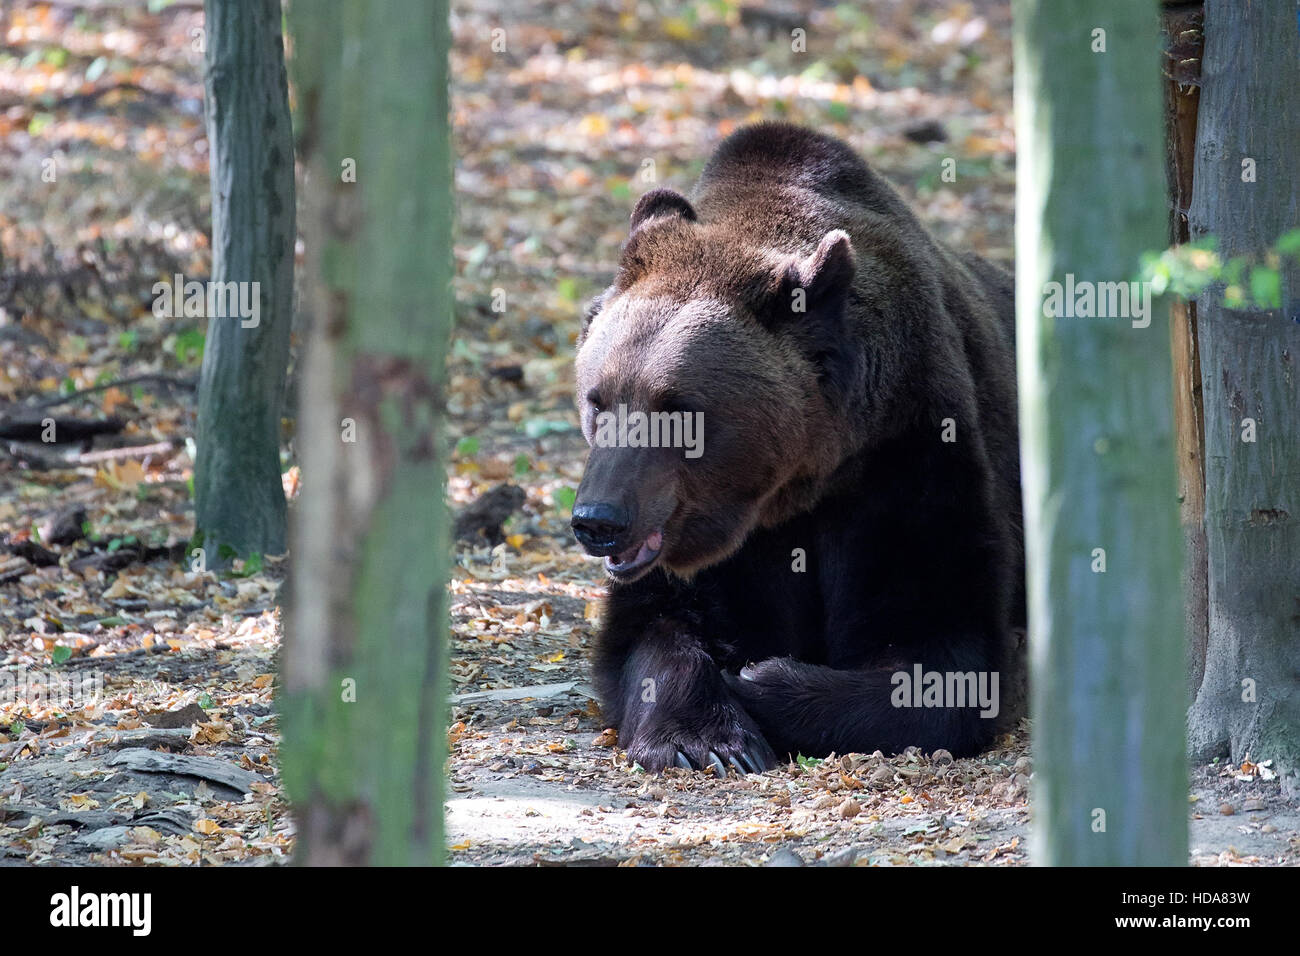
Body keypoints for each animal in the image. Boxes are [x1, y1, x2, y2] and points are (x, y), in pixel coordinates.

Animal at [572, 122, 1021, 775]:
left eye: (678, 408)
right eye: (598, 399)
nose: (598, 520)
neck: (796, 487)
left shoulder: (908, 460)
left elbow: (943, 648)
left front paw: (761, 678)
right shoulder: (710, 544)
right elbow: (650, 629)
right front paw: (705, 739)